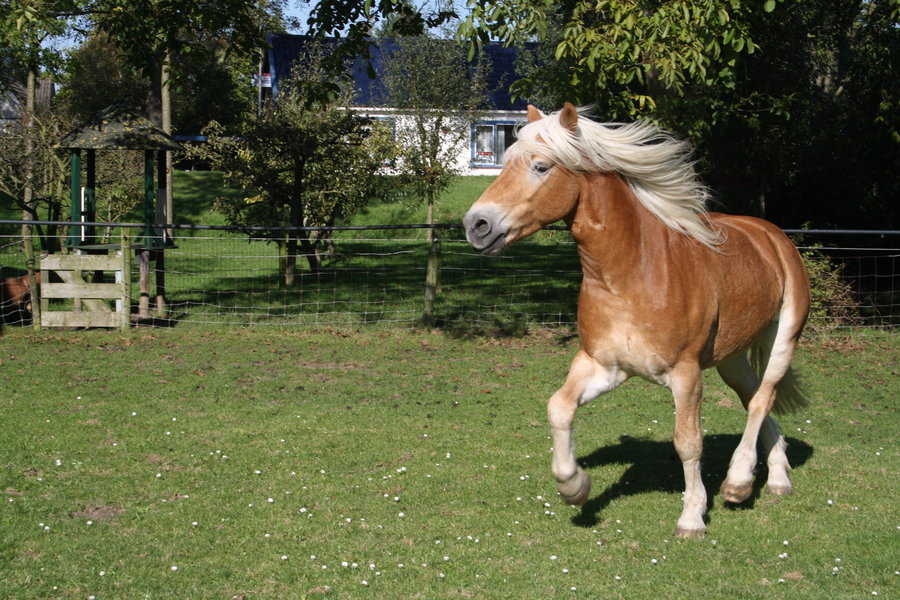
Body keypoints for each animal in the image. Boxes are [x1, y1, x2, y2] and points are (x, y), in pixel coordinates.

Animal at [463, 104, 810, 538]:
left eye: (541, 166)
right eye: (506, 161)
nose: (476, 225)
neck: (632, 274)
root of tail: (772, 235)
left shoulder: (685, 374)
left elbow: (688, 443)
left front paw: (692, 517)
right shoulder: (602, 365)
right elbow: (558, 407)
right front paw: (573, 485)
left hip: (784, 337)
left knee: (763, 397)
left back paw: (738, 482)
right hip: (731, 359)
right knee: (756, 402)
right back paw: (777, 478)